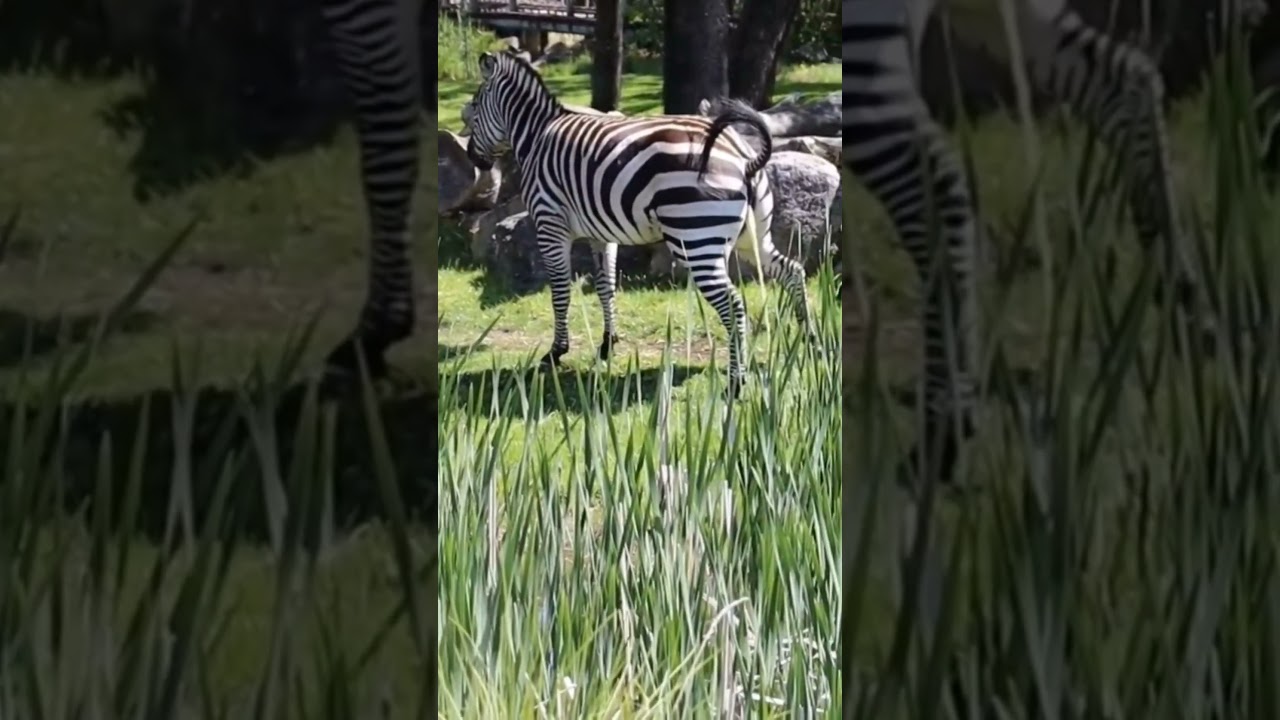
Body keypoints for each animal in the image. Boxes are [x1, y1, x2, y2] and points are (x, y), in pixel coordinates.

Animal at [461, 51, 818, 397]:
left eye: (474, 109)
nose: (473, 160)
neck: (536, 137)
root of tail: (745, 157)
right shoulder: (600, 233)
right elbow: (605, 286)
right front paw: (608, 344)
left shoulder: (550, 224)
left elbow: (560, 290)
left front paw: (556, 352)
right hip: (753, 236)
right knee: (792, 271)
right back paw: (811, 340)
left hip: (697, 241)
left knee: (734, 304)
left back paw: (736, 380)